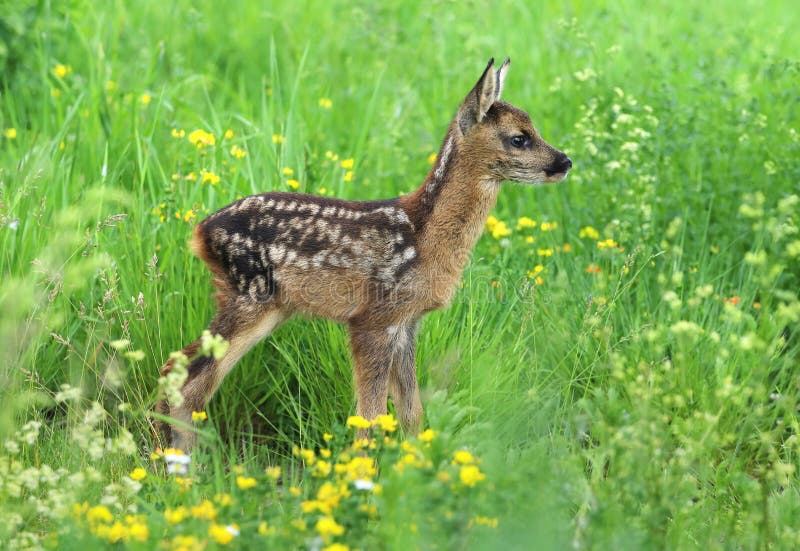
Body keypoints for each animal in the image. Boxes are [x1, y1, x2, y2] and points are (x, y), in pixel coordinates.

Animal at [156, 58, 572, 450]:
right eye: (519, 138)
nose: (564, 162)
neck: (424, 236)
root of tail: (200, 232)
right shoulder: (373, 318)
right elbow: (369, 419)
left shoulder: (407, 322)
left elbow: (411, 414)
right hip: (250, 296)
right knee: (189, 379)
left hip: (264, 304)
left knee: (179, 370)